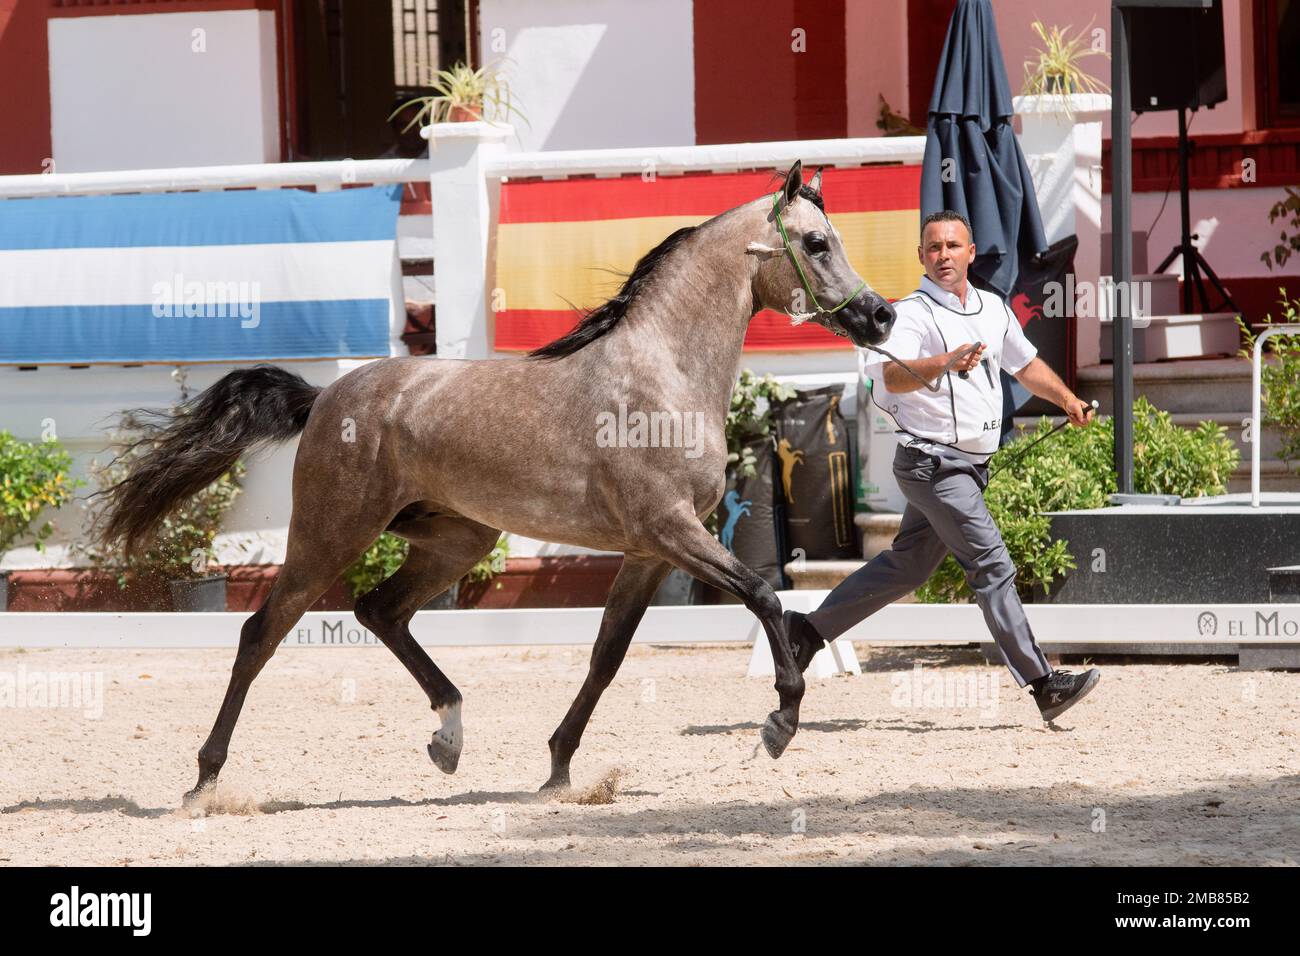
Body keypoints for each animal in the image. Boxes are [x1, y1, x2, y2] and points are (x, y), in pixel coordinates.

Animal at [96, 161, 897, 801]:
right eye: (818, 244)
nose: (881, 315)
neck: (663, 374)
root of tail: (325, 398)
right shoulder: (671, 531)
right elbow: (765, 594)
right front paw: (780, 720)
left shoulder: (646, 553)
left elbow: (607, 657)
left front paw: (559, 769)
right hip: (331, 535)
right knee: (262, 632)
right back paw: (204, 780)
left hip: (458, 539)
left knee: (380, 611)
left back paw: (448, 739)